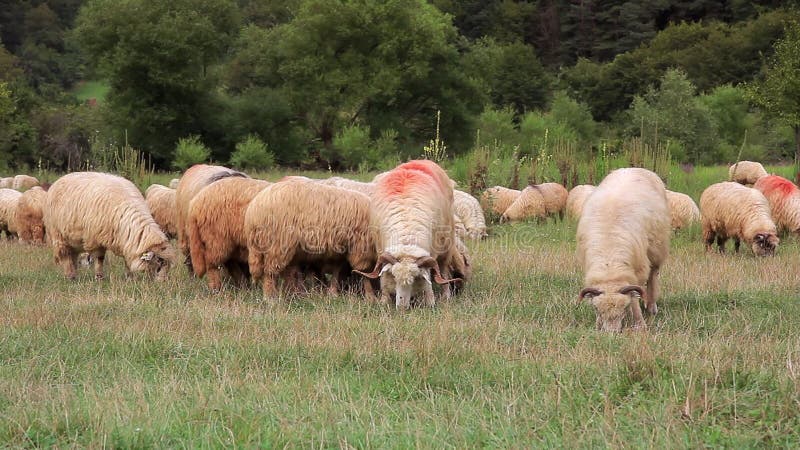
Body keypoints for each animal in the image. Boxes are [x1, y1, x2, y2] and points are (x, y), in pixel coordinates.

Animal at [43, 172, 176, 280]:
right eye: (159, 264)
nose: (163, 283)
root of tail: (60, 179)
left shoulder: (125, 240)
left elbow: (127, 259)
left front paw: (130, 278)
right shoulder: (95, 240)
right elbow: (100, 259)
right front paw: (99, 278)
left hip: (73, 240)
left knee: (73, 256)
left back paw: (74, 273)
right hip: (58, 235)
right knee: (65, 256)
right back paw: (70, 276)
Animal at [245, 178, 376, 299]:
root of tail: (253, 211)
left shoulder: (340, 248)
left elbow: (337, 269)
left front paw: (332, 292)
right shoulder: (360, 247)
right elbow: (363, 272)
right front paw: (370, 297)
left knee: (286, 271)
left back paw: (294, 293)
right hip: (278, 245)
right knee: (270, 272)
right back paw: (271, 297)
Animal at [354, 160, 460, 309]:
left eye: (415, 279)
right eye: (394, 277)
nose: (402, 308)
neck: (406, 239)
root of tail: (422, 160)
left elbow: (428, 279)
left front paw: (430, 301)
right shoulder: (381, 249)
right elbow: (383, 277)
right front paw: (384, 300)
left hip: (447, 244)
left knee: (444, 270)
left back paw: (446, 296)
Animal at [577, 168, 671, 332]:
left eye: (624, 308)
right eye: (597, 309)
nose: (611, 333)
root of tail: (633, 168)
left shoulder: (638, 270)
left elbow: (634, 298)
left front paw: (639, 324)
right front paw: (597, 325)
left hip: (657, 249)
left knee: (653, 276)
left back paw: (651, 307)